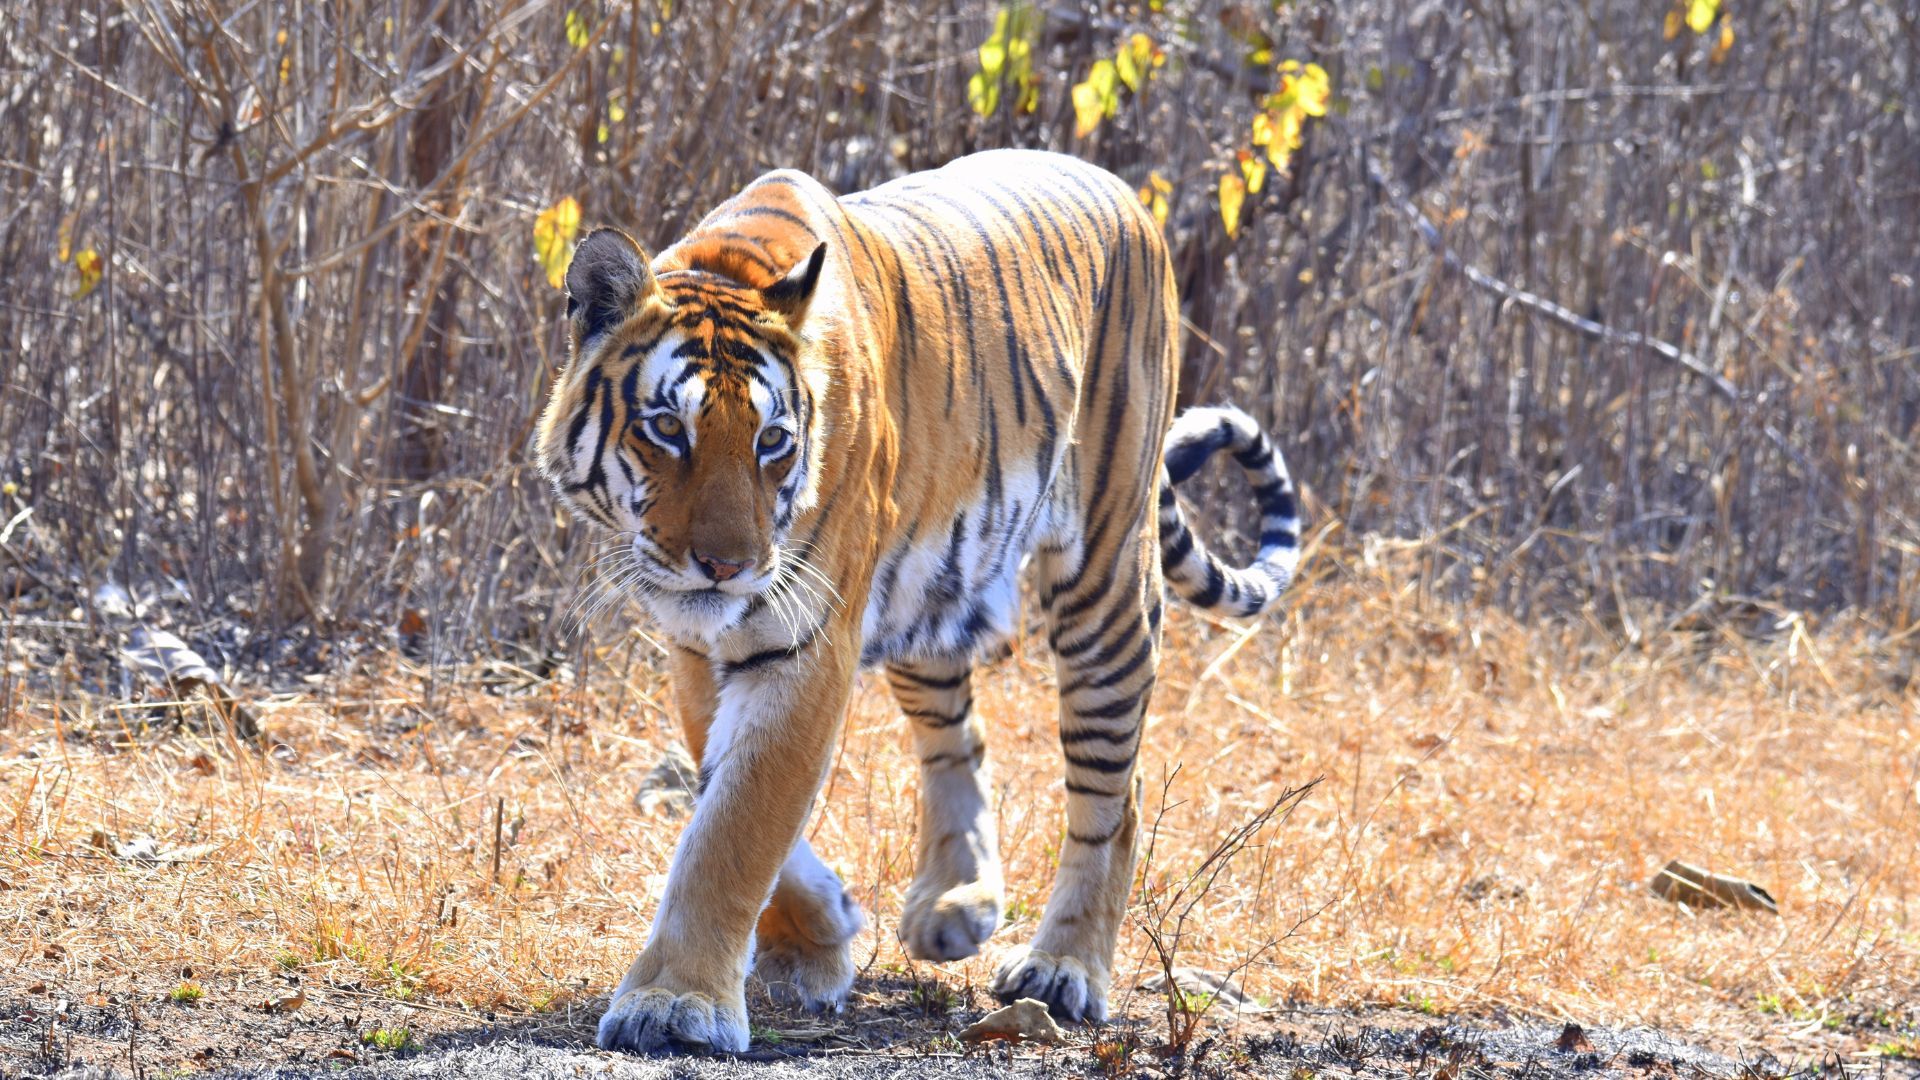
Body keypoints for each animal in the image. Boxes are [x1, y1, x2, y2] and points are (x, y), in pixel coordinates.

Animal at [535, 148, 1302, 1054]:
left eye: (771, 441)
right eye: (667, 429)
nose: (728, 566)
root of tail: (1127, 196)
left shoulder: (805, 639)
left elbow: (736, 827)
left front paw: (676, 1003)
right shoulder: (704, 649)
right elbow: (733, 798)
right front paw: (816, 940)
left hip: (1105, 581)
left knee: (1115, 792)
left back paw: (1065, 968)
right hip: (928, 598)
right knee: (958, 740)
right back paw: (957, 907)